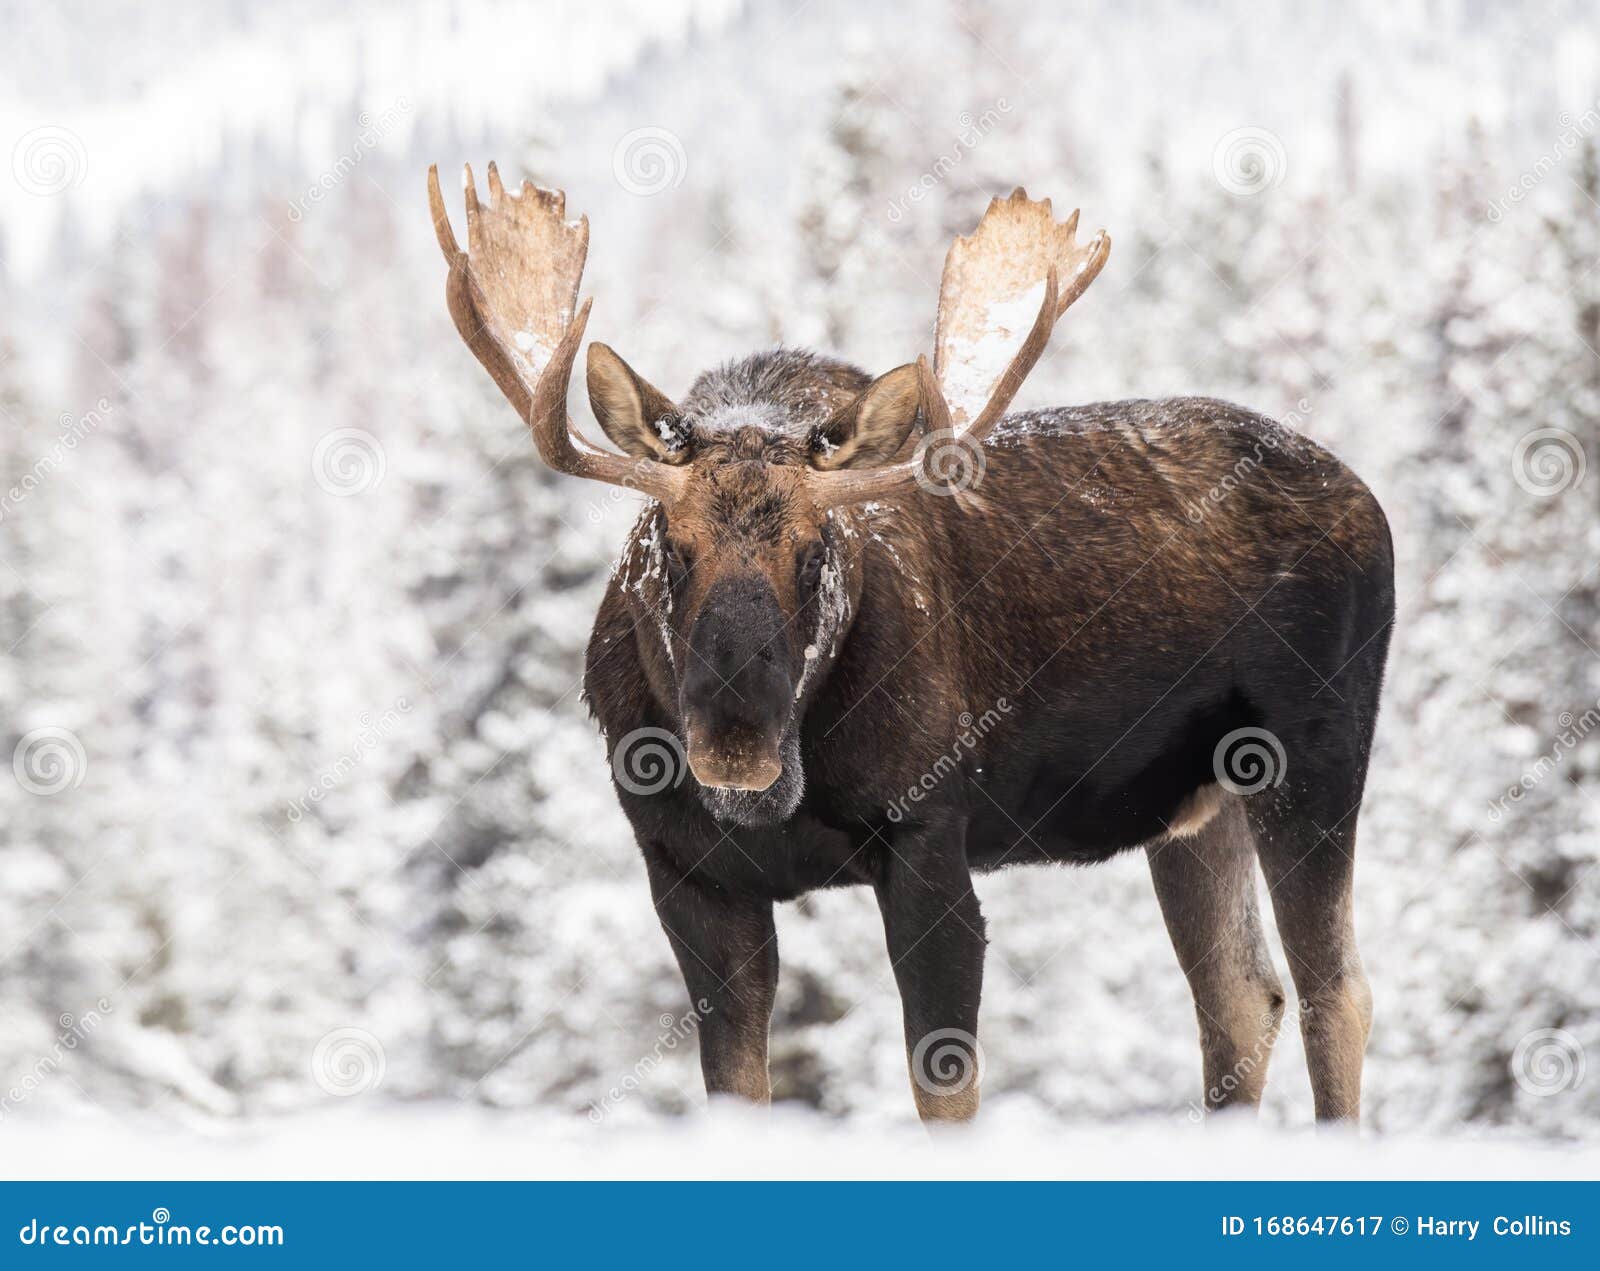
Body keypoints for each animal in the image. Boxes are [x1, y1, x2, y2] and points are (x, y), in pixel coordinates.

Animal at [426, 161, 1395, 1126]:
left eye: (817, 550)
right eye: (671, 542)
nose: (736, 743)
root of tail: (1368, 497)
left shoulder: (929, 836)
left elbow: (945, 1087)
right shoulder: (686, 872)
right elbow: (737, 1087)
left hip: (1312, 752)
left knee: (1337, 992)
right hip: (1195, 807)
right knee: (1241, 995)